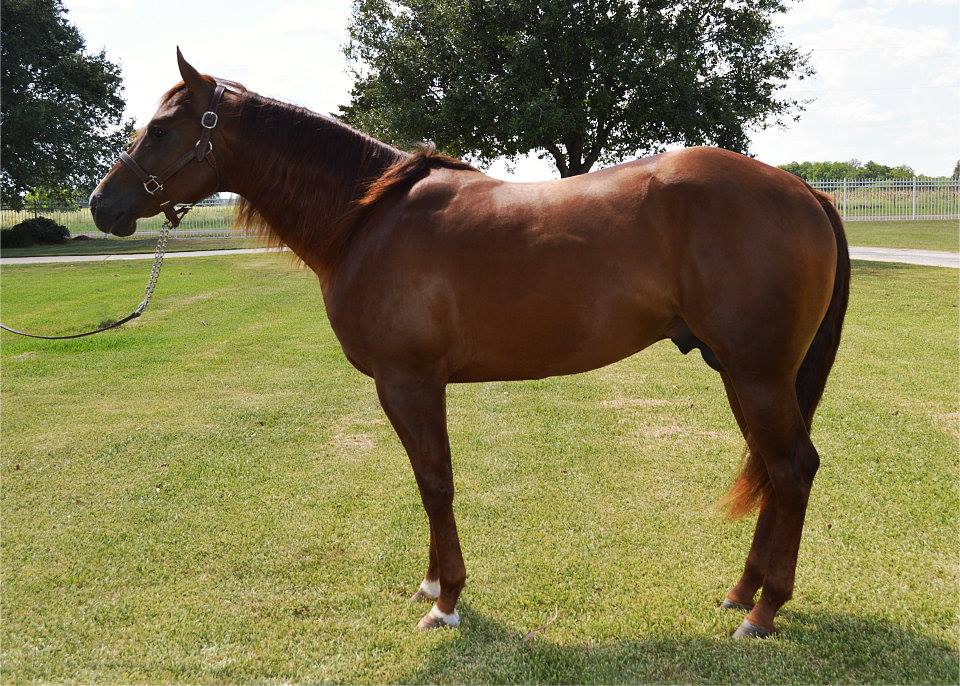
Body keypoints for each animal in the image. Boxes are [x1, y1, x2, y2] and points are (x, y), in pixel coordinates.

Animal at [90, 50, 850, 639]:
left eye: (160, 129)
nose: (102, 204)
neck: (368, 216)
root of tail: (805, 191)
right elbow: (429, 483)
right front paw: (433, 586)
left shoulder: (408, 382)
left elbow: (435, 482)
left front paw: (446, 601)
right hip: (743, 374)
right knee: (776, 470)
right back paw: (743, 591)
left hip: (758, 375)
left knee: (791, 470)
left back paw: (763, 612)